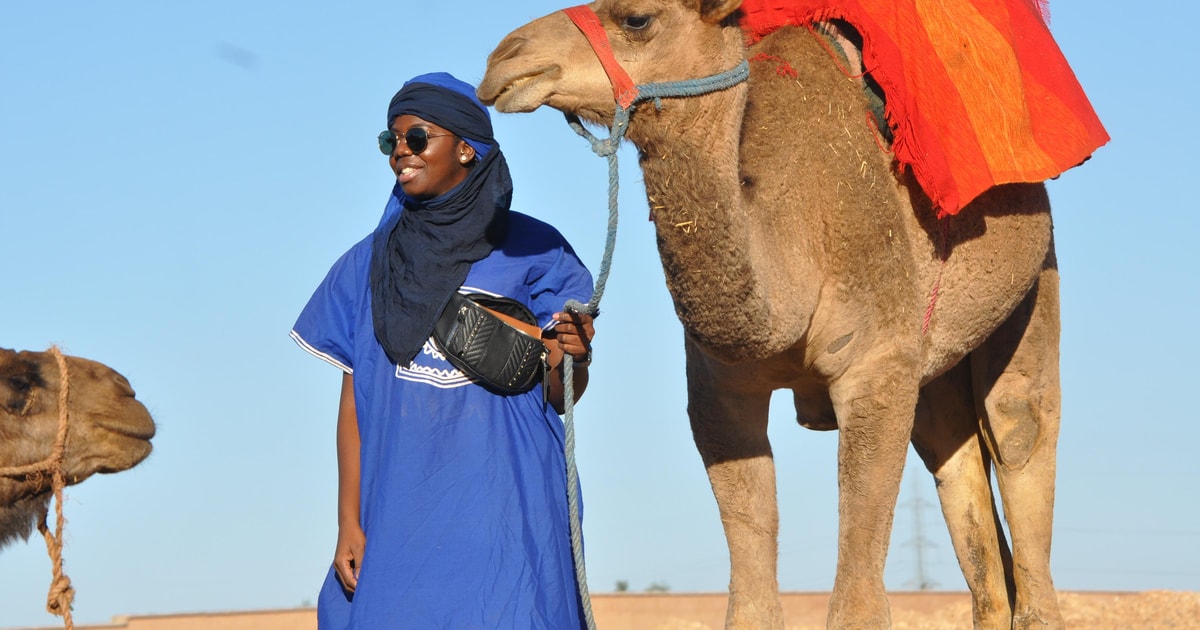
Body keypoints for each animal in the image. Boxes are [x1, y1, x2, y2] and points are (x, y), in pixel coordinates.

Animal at [479, 1, 1068, 628]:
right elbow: (751, 593)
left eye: (637, 19)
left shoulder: (876, 366)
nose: (503, 59)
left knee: (1018, 431)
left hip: (1036, 276)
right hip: (934, 361)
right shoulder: (721, 392)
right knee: (956, 468)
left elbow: (859, 600)